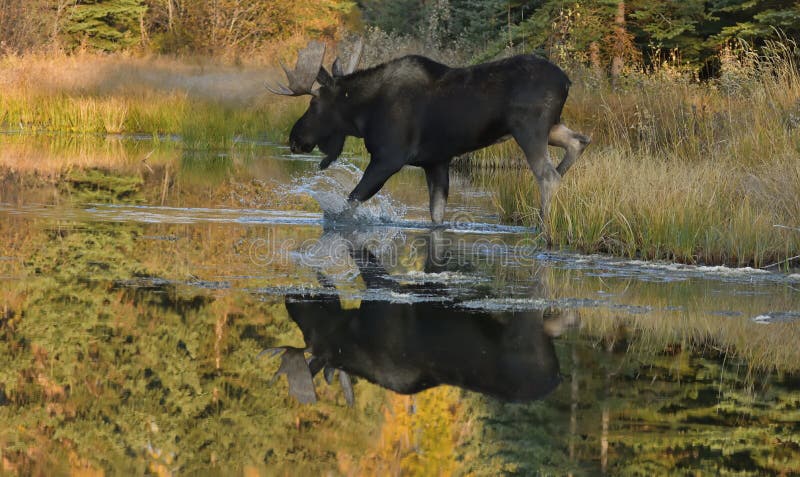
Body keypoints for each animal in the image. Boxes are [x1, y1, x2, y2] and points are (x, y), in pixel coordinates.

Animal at [268, 40, 591, 242]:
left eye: (314, 105)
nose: (294, 139)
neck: (364, 115)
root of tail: (566, 82)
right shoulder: (436, 162)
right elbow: (437, 215)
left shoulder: (389, 158)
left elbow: (351, 202)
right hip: (550, 127)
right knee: (579, 141)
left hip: (529, 129)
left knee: (548, 175)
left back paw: (545, 228)